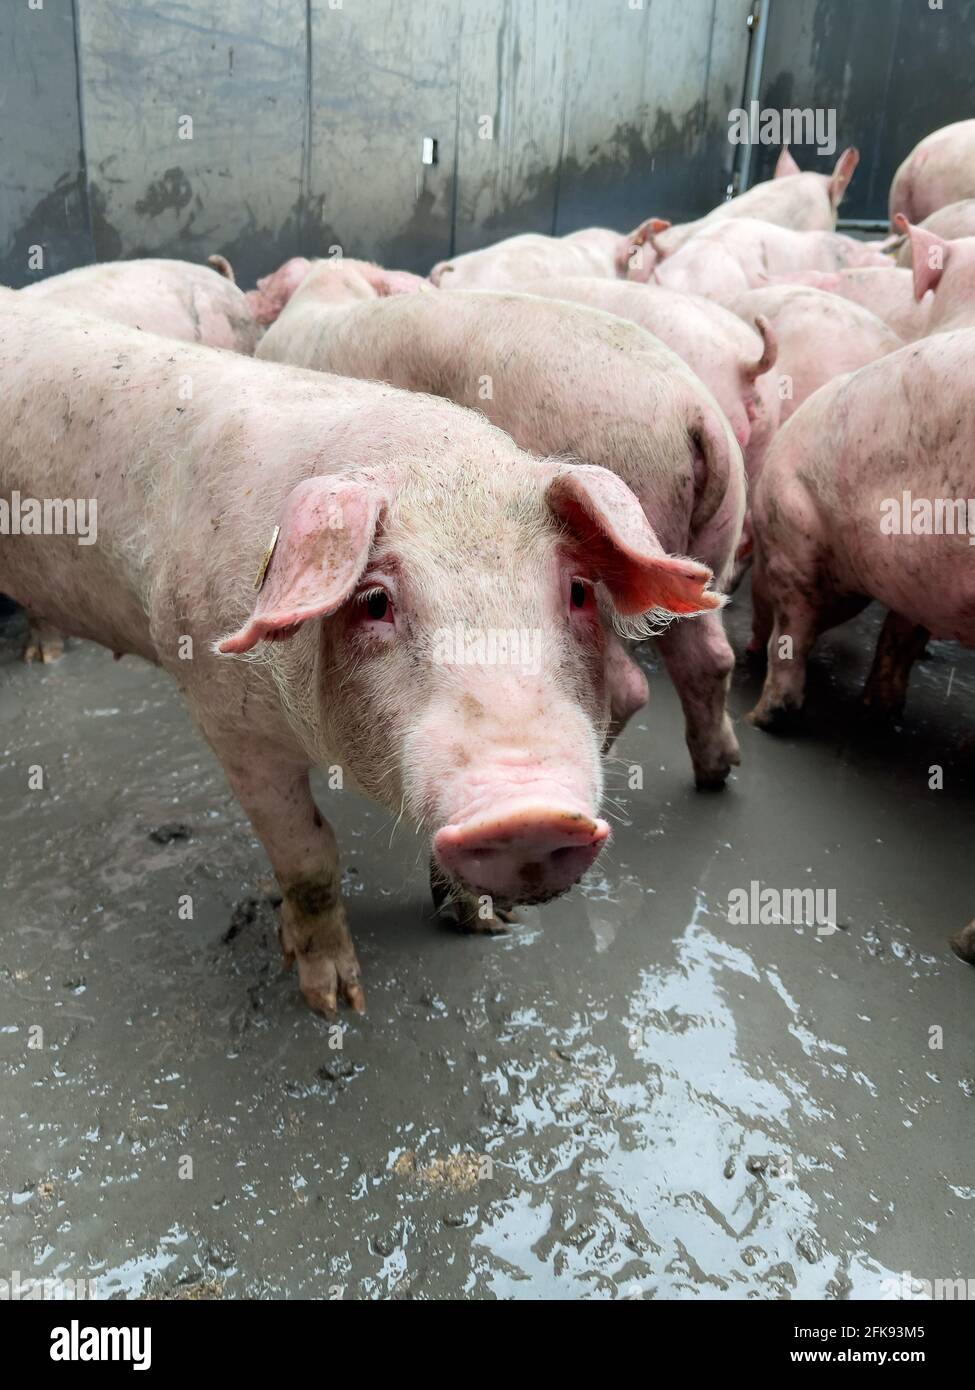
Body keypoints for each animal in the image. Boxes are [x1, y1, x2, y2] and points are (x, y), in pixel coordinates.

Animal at [0, 296, 725, 1009]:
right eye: (375, 601)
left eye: (576, 591)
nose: (530, 813)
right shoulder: (223, 714)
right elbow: (309, 854)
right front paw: (334, 1000)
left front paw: (487, 923)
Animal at [747, 329, 975, 741]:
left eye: (758, 554)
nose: (748, 646)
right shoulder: (917, 581)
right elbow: (899, 639)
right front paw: (879, 714)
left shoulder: (792, 547)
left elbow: (790, 640)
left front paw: (761, 719)